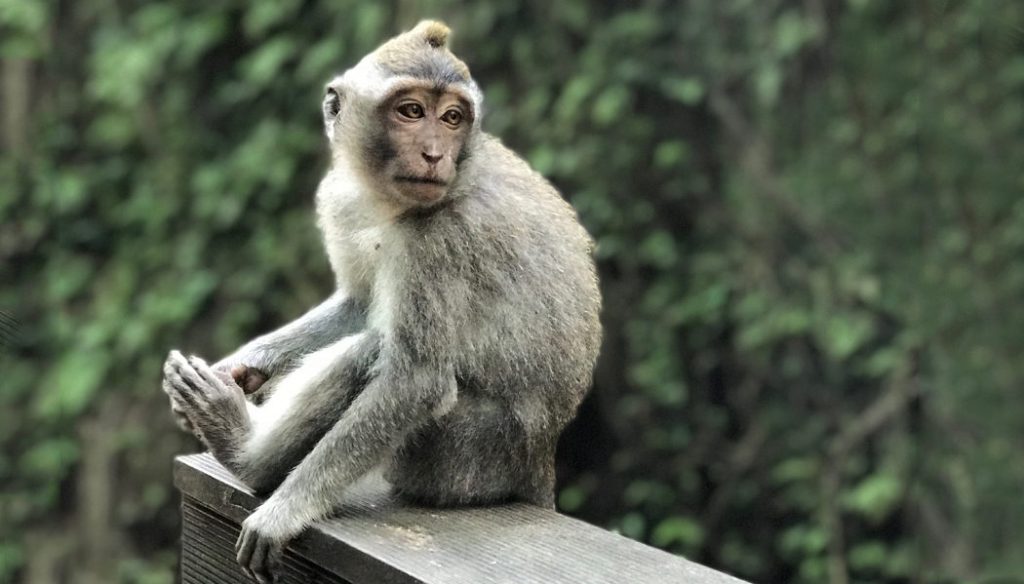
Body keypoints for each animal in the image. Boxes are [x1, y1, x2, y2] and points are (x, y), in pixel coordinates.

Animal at [162, 20, 601, 583]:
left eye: (453, 118)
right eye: (411, 111)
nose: (435, 154)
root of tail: (538, 462)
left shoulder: (438, 239)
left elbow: (417, 379)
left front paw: (285, 510)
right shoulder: (340, 199)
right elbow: (357, 302)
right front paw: (243, 364)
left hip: (461, 458)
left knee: (372, 354)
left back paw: (246, 456)